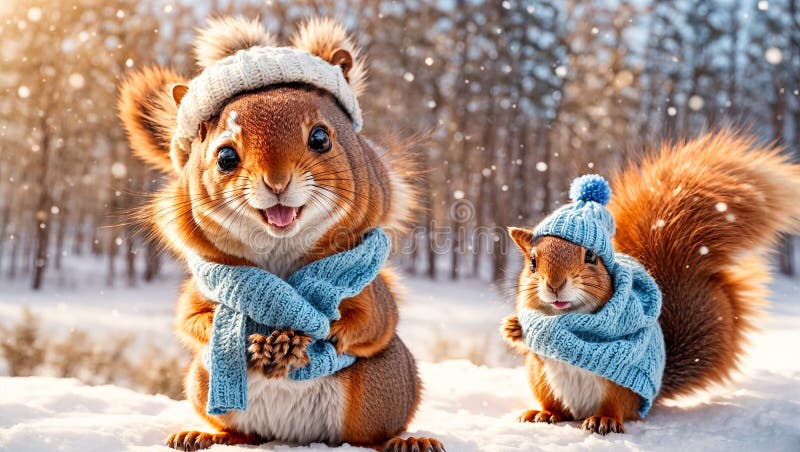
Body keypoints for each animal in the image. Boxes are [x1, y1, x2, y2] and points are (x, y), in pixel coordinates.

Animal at [118, 17, 442, 452]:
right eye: (225, 156)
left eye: (321, 137)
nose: (276, 181)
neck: (279, 252)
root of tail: (292, 436)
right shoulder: (205, 283)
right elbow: (190, 320)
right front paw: (249, 341)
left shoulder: (370, 291)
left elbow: (374, 321)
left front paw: (315, 335)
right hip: (204, 381)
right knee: (241, 432)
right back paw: (203, 434)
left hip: (381, 387)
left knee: (371, 435)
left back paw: (407, 441)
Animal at [502, 132, 800, 435]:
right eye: (533, 263)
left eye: (591, 257)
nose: (555, 284)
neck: (563, 316)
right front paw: (513, 327)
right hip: (540, 378)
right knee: (558, 408)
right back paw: (543, 413)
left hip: (618, 389)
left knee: (615, 408)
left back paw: (603, 419)